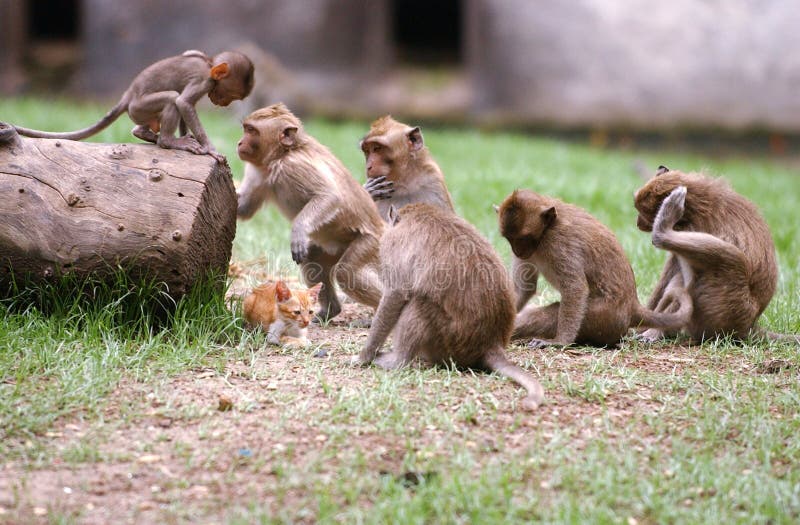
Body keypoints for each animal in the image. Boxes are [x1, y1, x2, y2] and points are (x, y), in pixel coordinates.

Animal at [13, 50, 254, 160]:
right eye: (229, 94)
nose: (222, 103)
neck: (209, 64)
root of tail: (128, 96)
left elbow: (185, 105)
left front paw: (188, 136)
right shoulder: (204, 80)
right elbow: (183, 102)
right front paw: (209, 148)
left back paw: (144, 133)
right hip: (140, 107)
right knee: (171, 98)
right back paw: (166, 141)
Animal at [236, 103, 384, 321]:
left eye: (251, 131)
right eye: (246, 128)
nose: (239, 143)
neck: (282, 155)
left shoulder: (294, 166)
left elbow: (329, 196)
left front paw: (298, 231)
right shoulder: (259, 172)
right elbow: (244, 208)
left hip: (370, 242)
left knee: (347, 272)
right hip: (333, 247)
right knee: (313, 260)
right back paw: (330, 311)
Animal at [354, 203, 545, 411]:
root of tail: (490, 344)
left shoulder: (392, 244)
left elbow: (396, 294)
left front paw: (364, 356)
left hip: (451, 339)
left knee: (419, 305)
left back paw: (398, 360)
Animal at [498, 189, 692, 348]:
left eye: (523, 238)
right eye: (509, 239)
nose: (518, 251)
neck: (546, 230)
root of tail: (632, 306)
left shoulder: (558, 243)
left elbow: (575, 288)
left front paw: (560, 341)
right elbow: (524, 288)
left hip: (603, 317)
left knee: (552, 315)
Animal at [634, 167, 797, 343]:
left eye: (643, 213)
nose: (638, 223)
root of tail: (749, 326)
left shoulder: (693, 226)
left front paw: (653, 330)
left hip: (728, 305)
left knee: (731, 260)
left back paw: (662, 231)